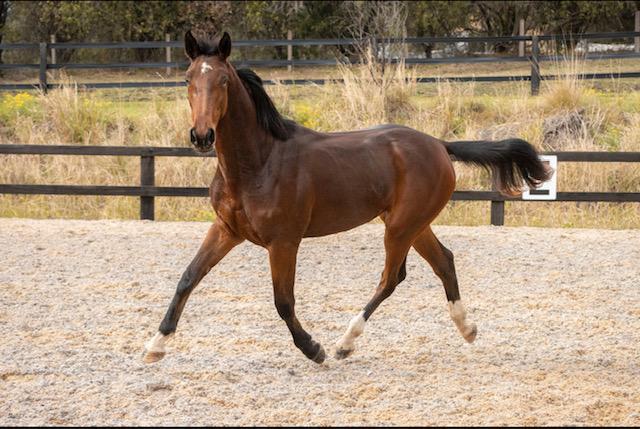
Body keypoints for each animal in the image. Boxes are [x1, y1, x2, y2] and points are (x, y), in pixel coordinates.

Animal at [142, 31, 551, 364]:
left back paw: (345, 343)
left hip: (401, 227)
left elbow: (283, 301)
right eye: (188, 79)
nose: (201, 136)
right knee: (444, 262)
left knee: (391, 277)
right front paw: (155, 345)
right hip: (412, 224)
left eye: (223, 80)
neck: (257, 163)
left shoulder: (284, 241)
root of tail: (439, 144)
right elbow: (188, 278)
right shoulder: (227, 229)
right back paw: (467, 329)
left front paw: (313, 349)